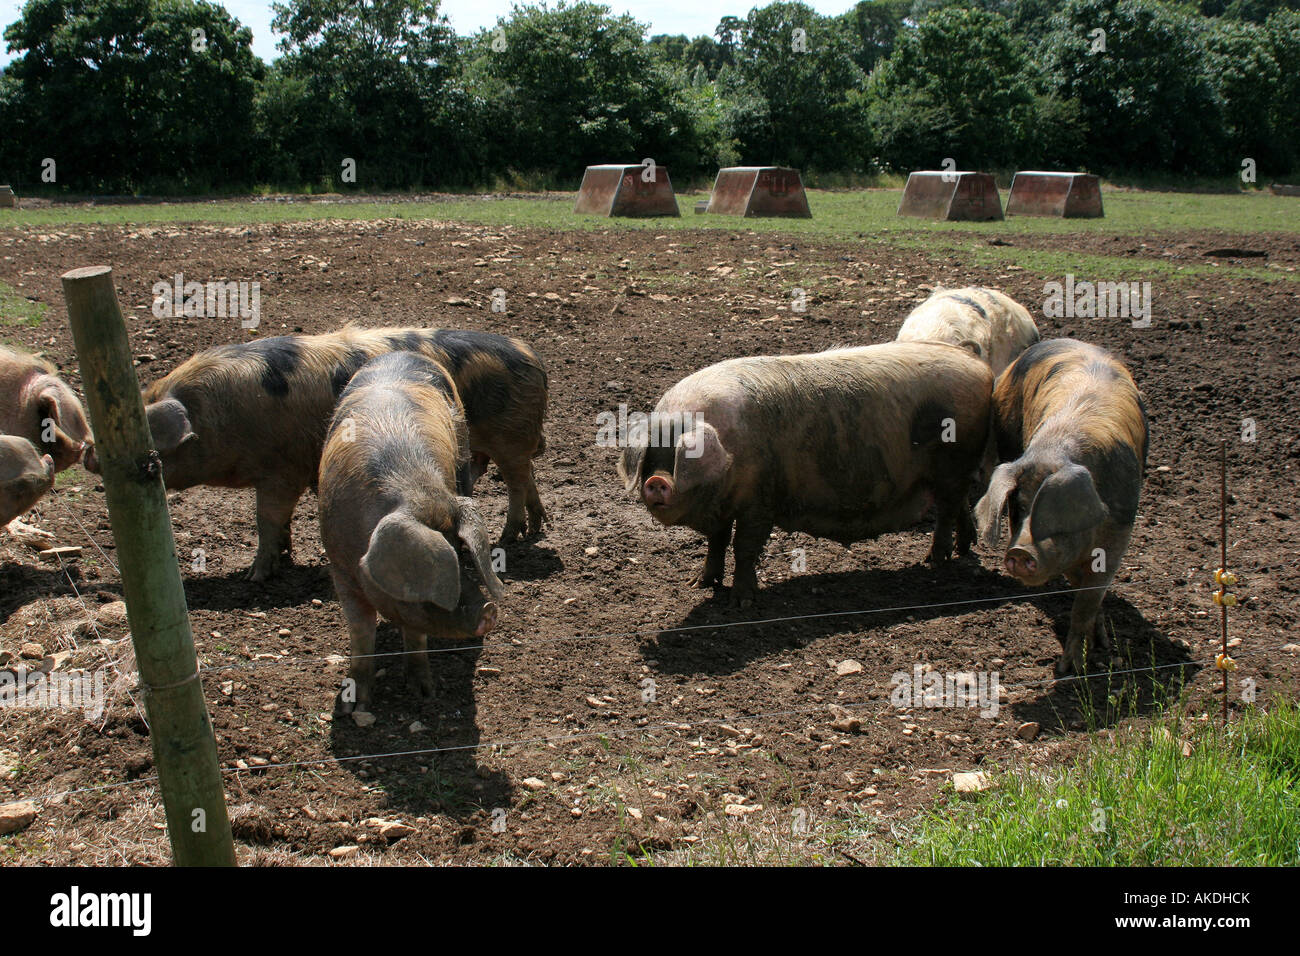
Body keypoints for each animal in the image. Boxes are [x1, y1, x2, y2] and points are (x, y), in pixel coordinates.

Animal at [85, 326, 548, 581]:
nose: (90, 451)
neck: (219, 416)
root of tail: (532, 355)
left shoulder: (281, 470)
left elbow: (266, 518)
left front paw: (255, 577)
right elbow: (279, 521)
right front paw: (285, 559)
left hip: (508, 439)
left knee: (516, 483)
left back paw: (510, 536)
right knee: (527, 479)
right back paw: (533, 529)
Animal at [319, 351, 505, 714]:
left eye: (461, 552)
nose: (489, 611)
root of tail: (402, 353)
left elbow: (415, 633)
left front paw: (424, 692)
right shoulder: (339, 568)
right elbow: (360, 632)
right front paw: (353, 707)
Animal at [618, 342, 993, 607]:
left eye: (681, 458)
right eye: (654, 457)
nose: (656, 480)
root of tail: (976, 363)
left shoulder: (760, 501)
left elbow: (744, 547)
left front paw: (741, 602)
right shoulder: (725, 505)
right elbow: (717, 543)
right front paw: (698, 584)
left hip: (953, 463)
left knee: (946, 512)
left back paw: (935, 562)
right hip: (952, 471)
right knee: (959, 504)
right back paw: (963, 550)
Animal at [974, 338, 1148, 676]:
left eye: (1057, 516)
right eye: (1019, 507)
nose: (1021, 551)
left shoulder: (1120, 531)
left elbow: (1088, 600)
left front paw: (1075, 669)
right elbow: (1079, 586)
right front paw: (1074, 665)